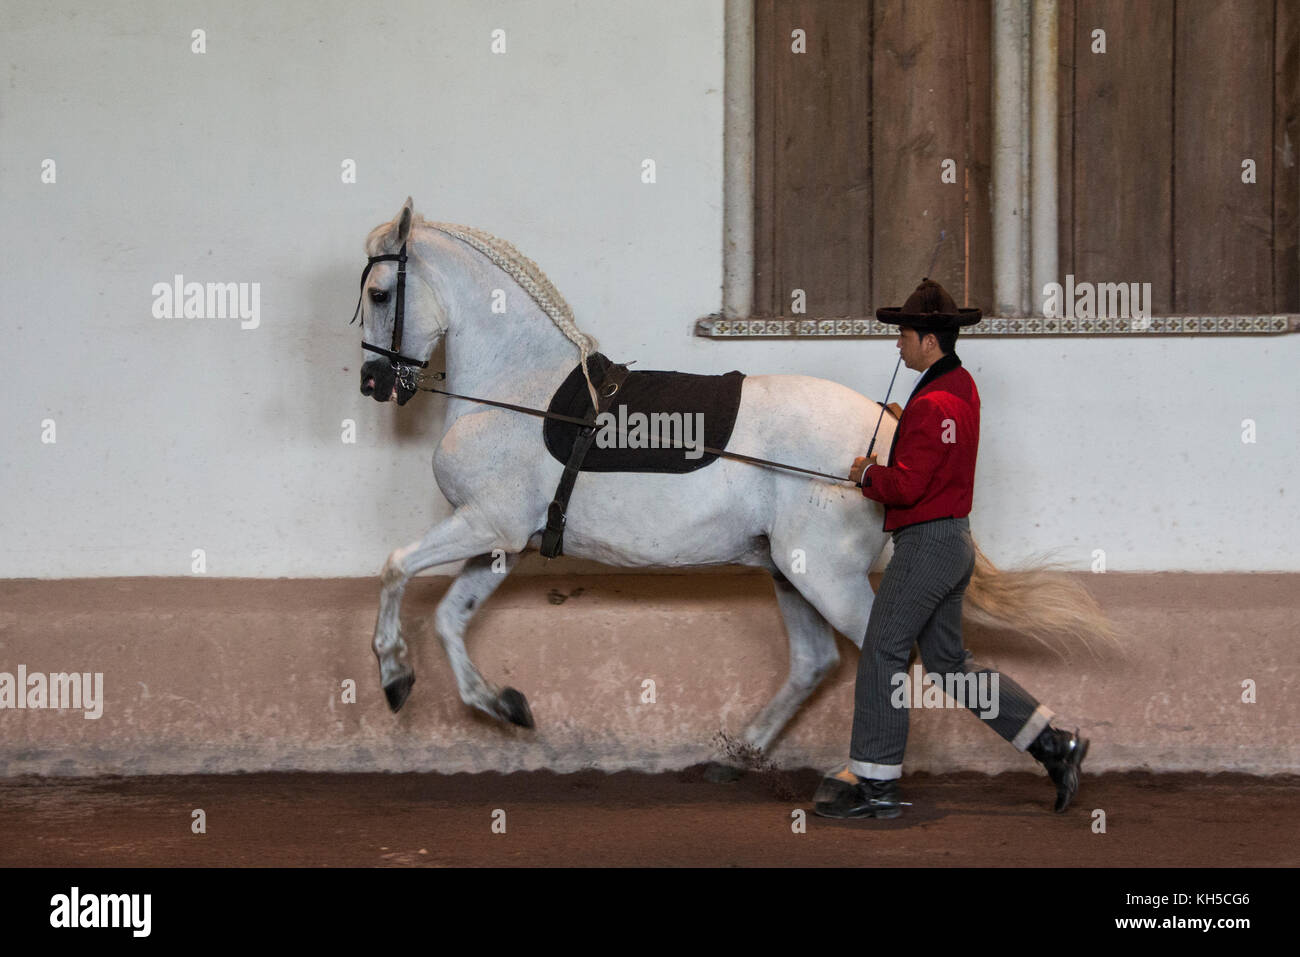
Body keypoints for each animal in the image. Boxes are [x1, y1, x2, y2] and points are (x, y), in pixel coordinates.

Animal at [351, 197, 1116, 768]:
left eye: (380, 292)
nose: (374, 381)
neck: (524, 391)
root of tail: (886, 435)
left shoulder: (486, 523)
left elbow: (394, 566)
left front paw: (393, 676)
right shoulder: (500, 541)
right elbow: (449, 617)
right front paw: (502, 704)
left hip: (826, 578)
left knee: (889, 657)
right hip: (789, 571)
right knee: (817, 661)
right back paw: (749, 749)